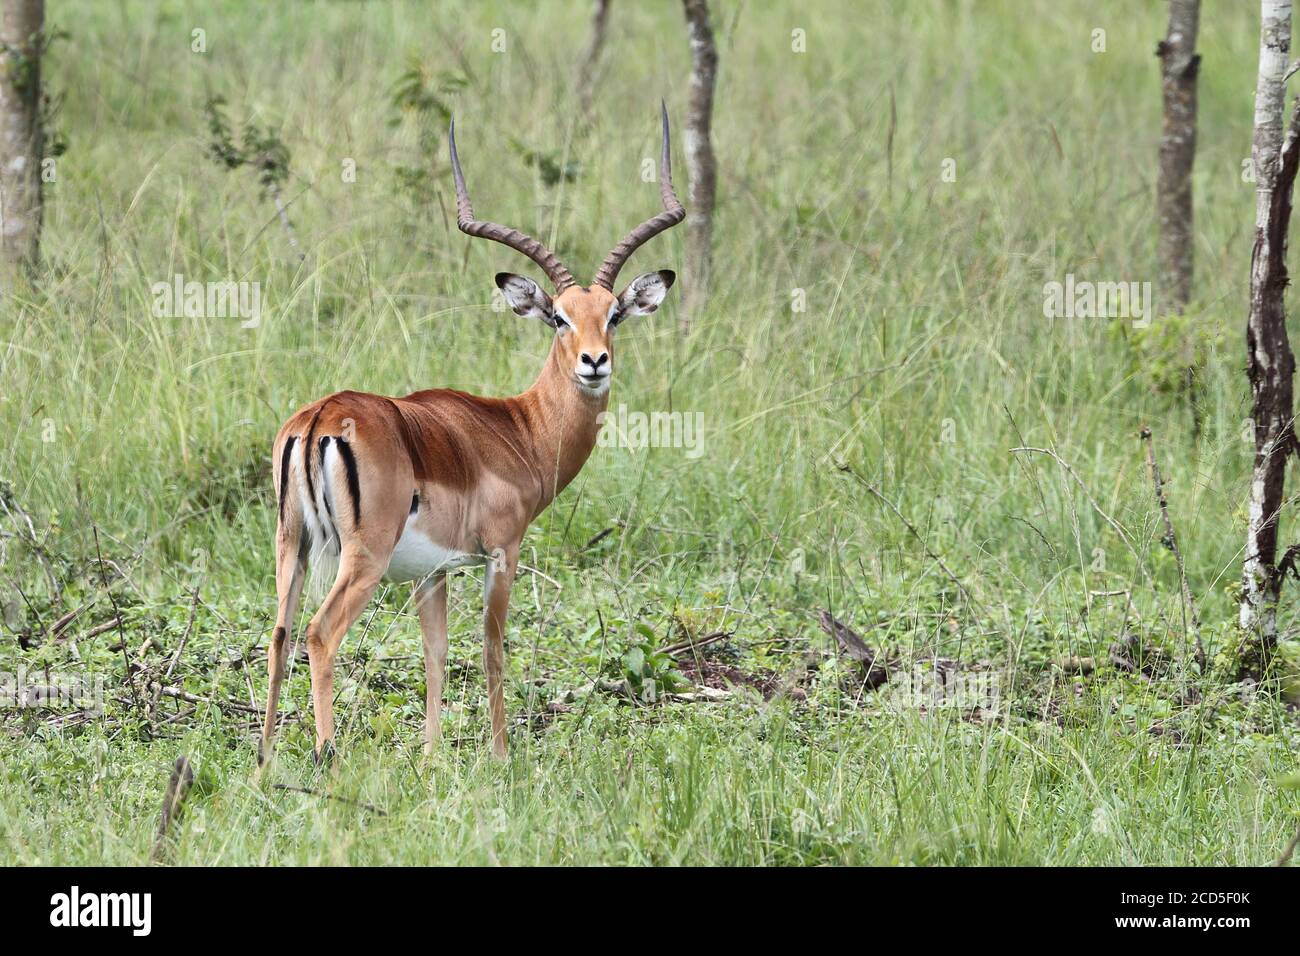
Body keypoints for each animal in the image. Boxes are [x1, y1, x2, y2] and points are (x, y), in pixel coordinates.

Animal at [258, 106, 684, 764]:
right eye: (558, 316)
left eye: (613, 313)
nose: (594, 362)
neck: (518, 428)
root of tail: (321, 418)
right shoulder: (502, 552)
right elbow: (491, 651)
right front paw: (502, 755)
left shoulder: (431, 572)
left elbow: (434, 655)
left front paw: (433, 756)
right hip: (361, 558)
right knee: (318, 633)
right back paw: (327, 755)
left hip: (293, 545)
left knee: (278, 634)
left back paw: (263, 762)